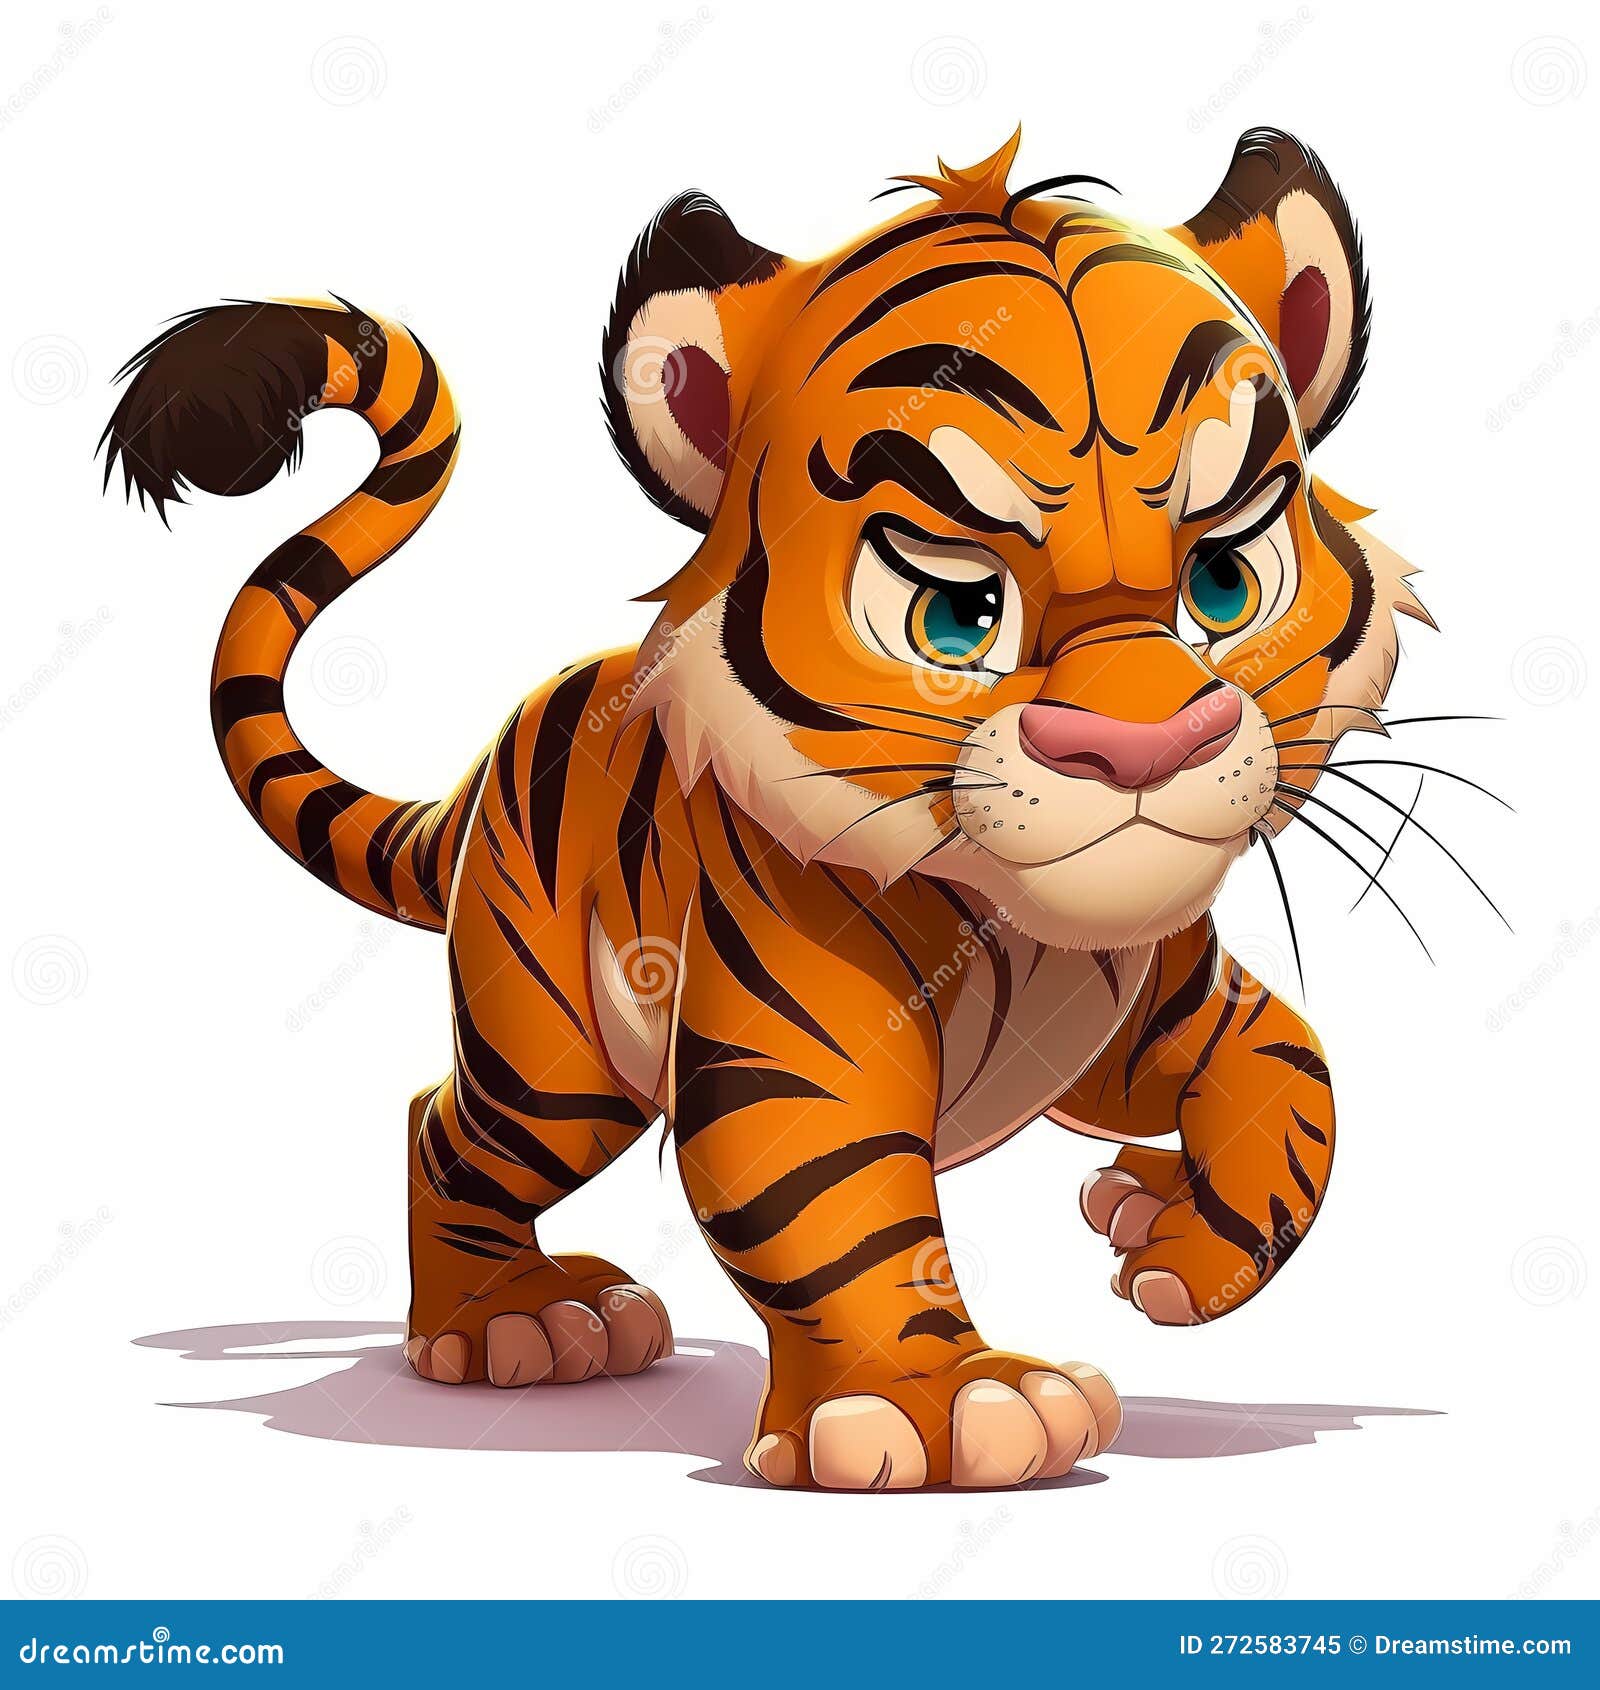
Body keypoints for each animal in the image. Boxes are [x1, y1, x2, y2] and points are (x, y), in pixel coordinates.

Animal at [102, 126, 1429, 1491]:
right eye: (957, 613)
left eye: (1223, 582)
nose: (1143, 745)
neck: (1028, 937)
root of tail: (493, 755)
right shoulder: (796, 1056)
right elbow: (836, 1217)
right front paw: (945, 1406)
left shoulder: (1150, 1013)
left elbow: (1296, 1076)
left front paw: (1187, 1251)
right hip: (554, 1064)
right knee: (441, 1128)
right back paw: (514, 1320)